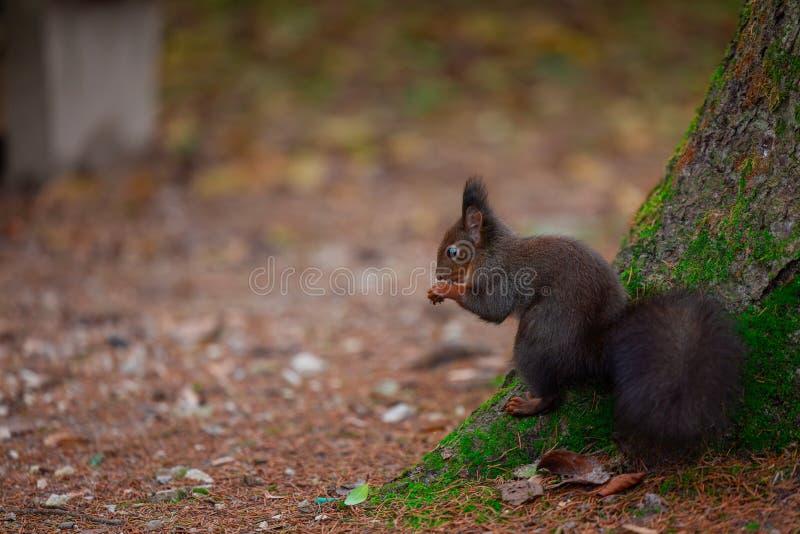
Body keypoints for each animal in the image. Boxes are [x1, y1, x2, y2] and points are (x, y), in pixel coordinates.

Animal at [427, 177, 743, 456]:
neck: (489, 251)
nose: (438, 274)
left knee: (551, 394)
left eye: (452, 251)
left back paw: (531, 404)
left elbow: (492, 308)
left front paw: (446, 290)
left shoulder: (499, 275)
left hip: (535, 337)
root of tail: (590, 348)